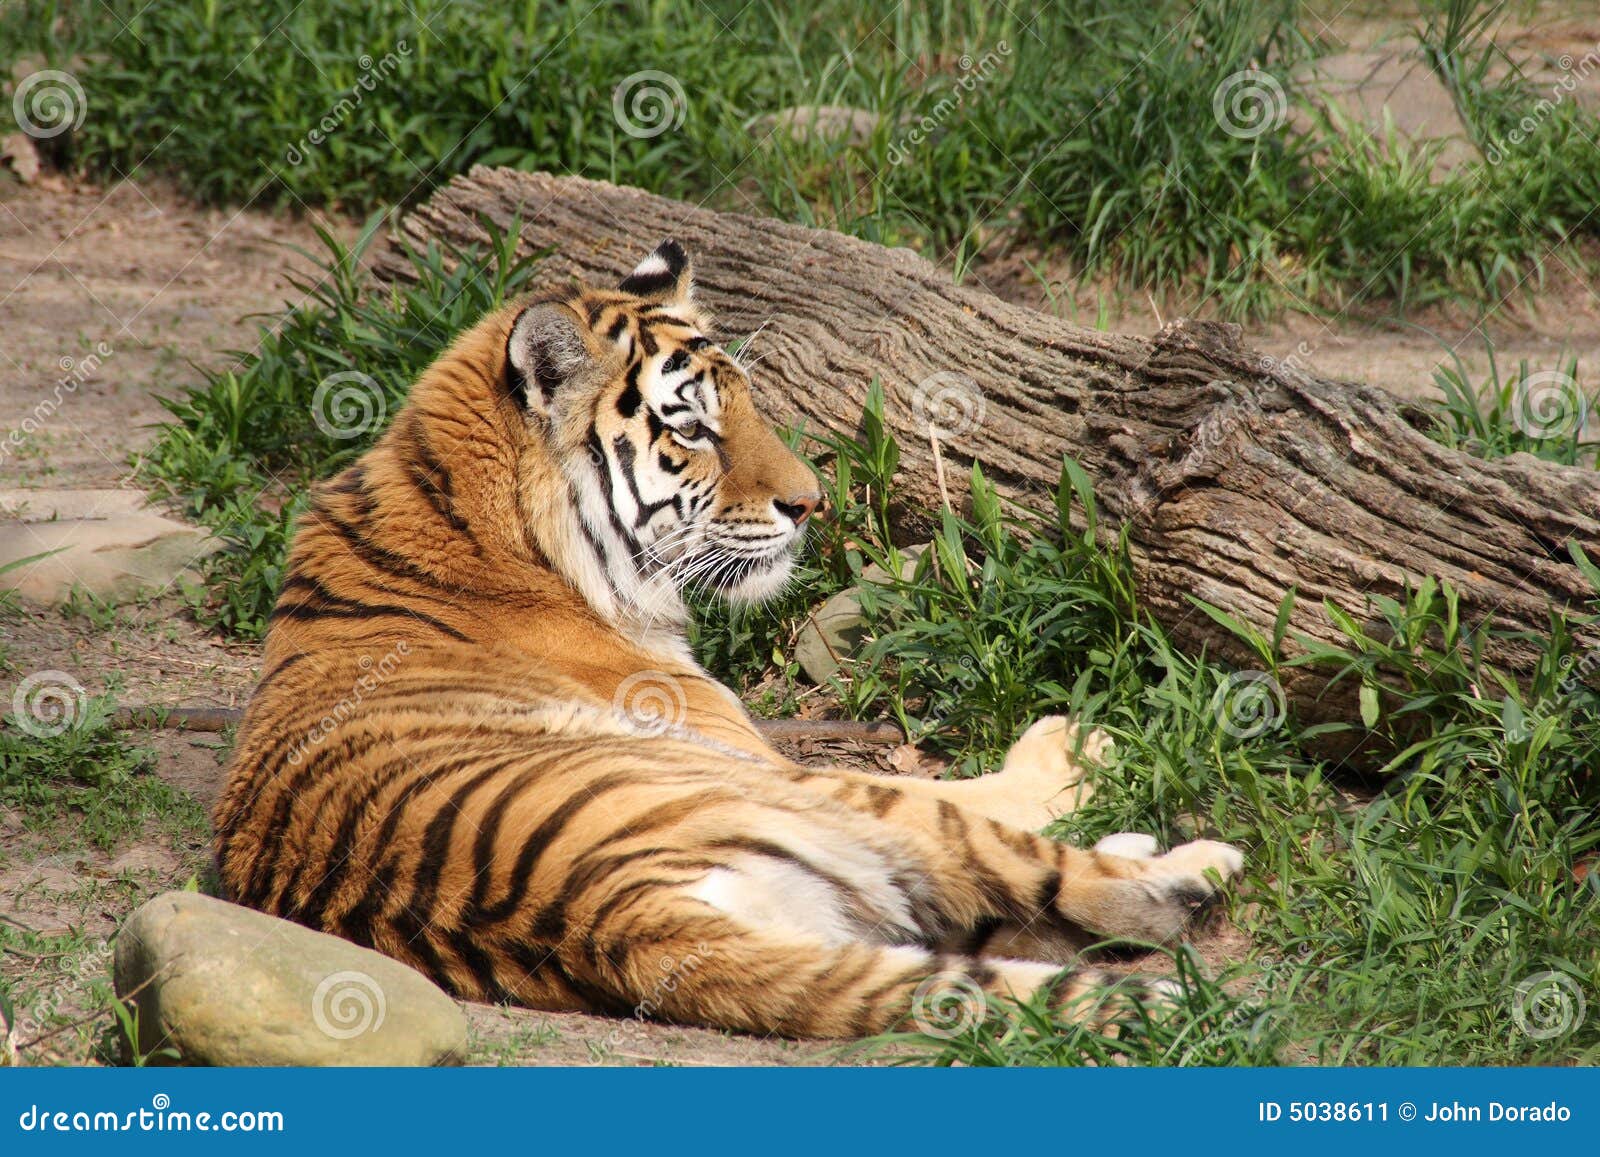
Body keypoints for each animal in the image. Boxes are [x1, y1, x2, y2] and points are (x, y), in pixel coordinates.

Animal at [212, 240, 1244, 1039]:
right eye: (694, 427)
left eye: (747, 405)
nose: (812, 504)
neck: (482, 527)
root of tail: (611, 923)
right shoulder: (758, 746)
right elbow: (976, 784)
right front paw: (1076, 740)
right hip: (810, 795)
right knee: (1030, 860)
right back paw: (1188, 869)